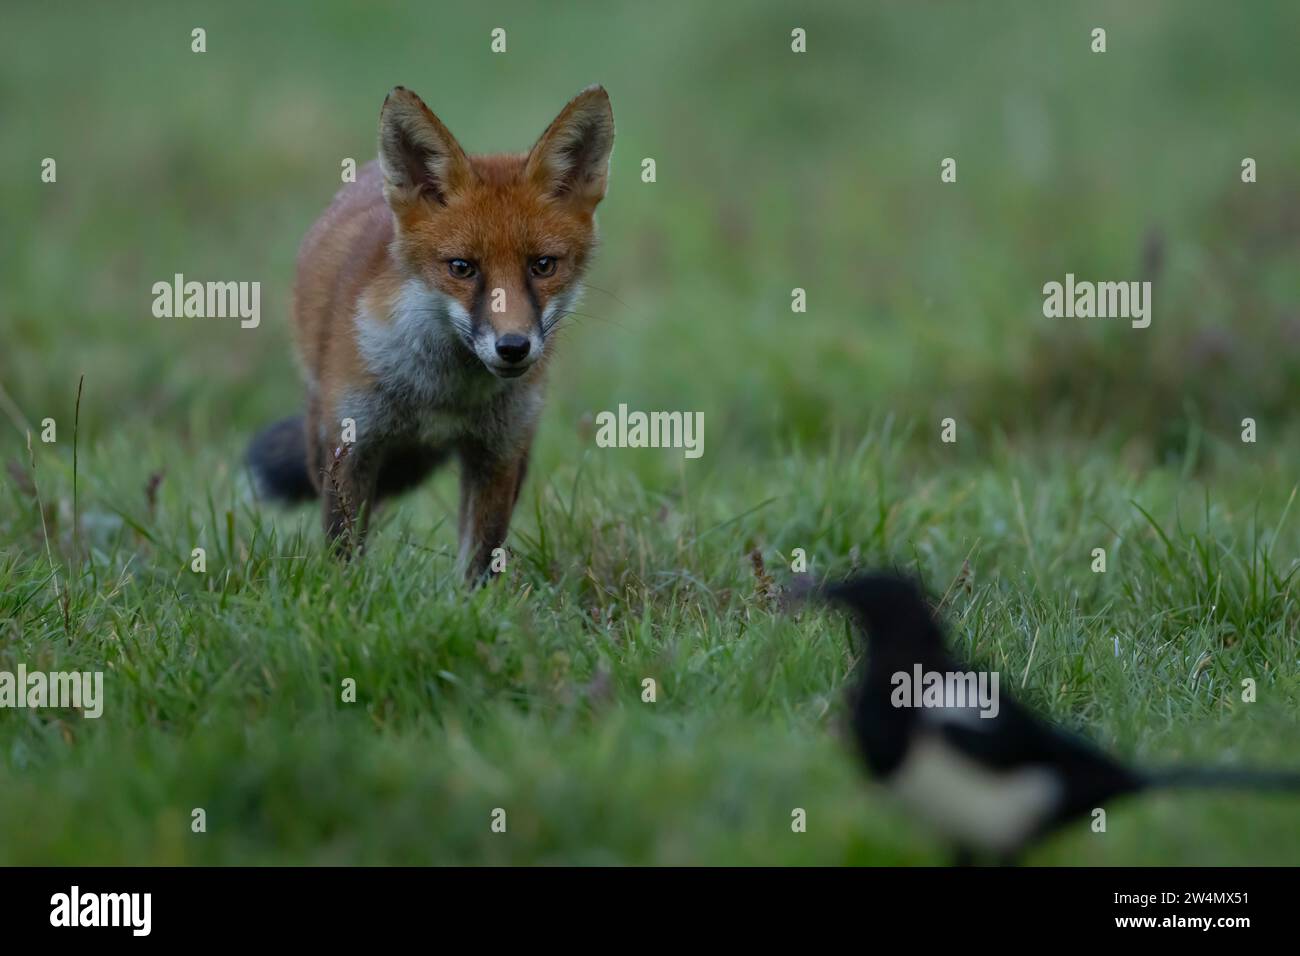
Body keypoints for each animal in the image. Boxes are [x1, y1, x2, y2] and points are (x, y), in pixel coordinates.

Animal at [246, 85, 615, 581]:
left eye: (543, 266)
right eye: (462, 267)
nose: (513, 347)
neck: (440, 395)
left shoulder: (497, 452)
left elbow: (480, 556)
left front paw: (470, 601)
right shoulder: (351, 444)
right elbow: (343, 547)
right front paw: (345, 593)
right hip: (319, 433)